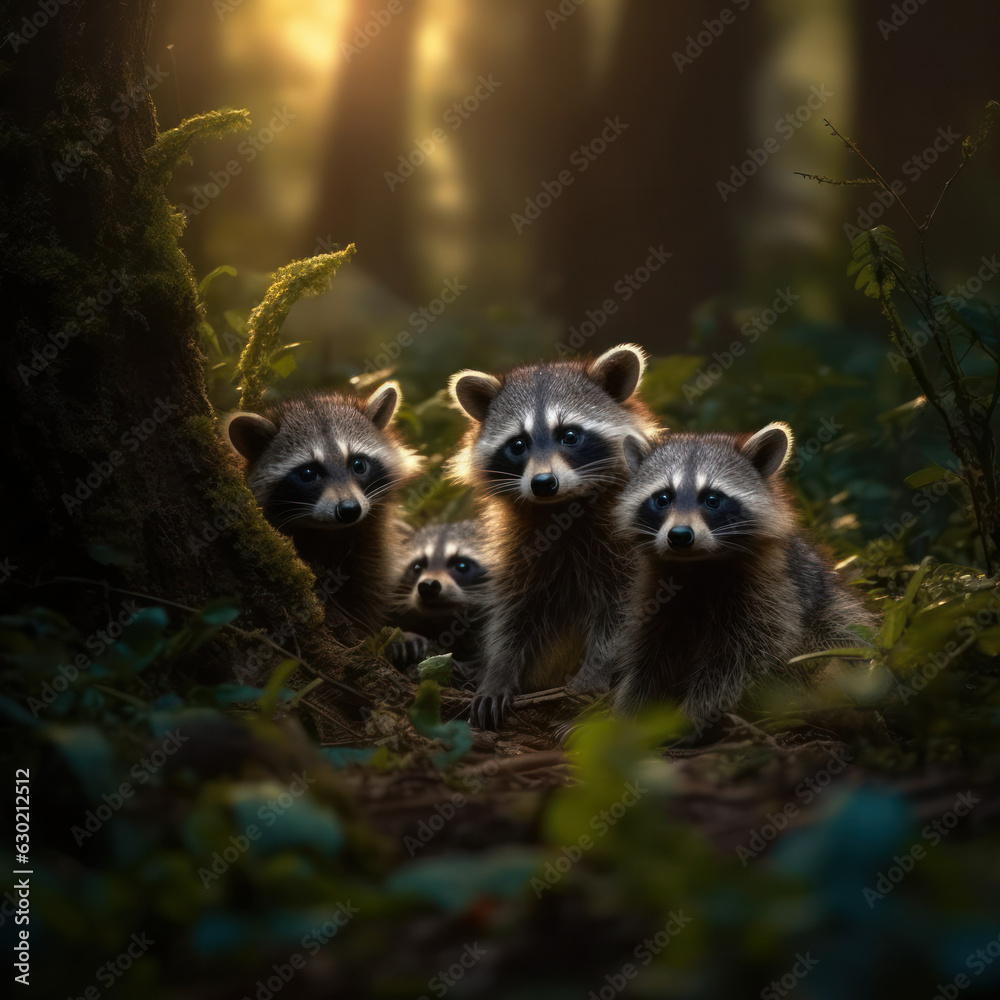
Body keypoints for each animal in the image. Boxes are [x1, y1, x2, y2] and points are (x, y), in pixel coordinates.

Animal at [226, 383, 421, 638]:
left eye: (358, 465)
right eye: (309, 473)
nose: (349, 509)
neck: (328, 532)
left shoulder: (372, 548)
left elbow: (368, 593)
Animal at [449, 344, 660, 729]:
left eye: (570, 436)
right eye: (518, 444)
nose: (543, 483)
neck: (562, 510)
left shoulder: (628, 549)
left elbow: (625, 611)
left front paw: (594, 672)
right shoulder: (520, 547)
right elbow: (514, 613)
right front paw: (498, 670)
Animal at [612, 423, 873, 739]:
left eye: (713, 499)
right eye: (662, 499)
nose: (679, 536)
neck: (696, 566)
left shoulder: (773, 590)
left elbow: (741, 660)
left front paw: (696, 714)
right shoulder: (656, 591)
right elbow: (649, 655)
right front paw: (629, 713)